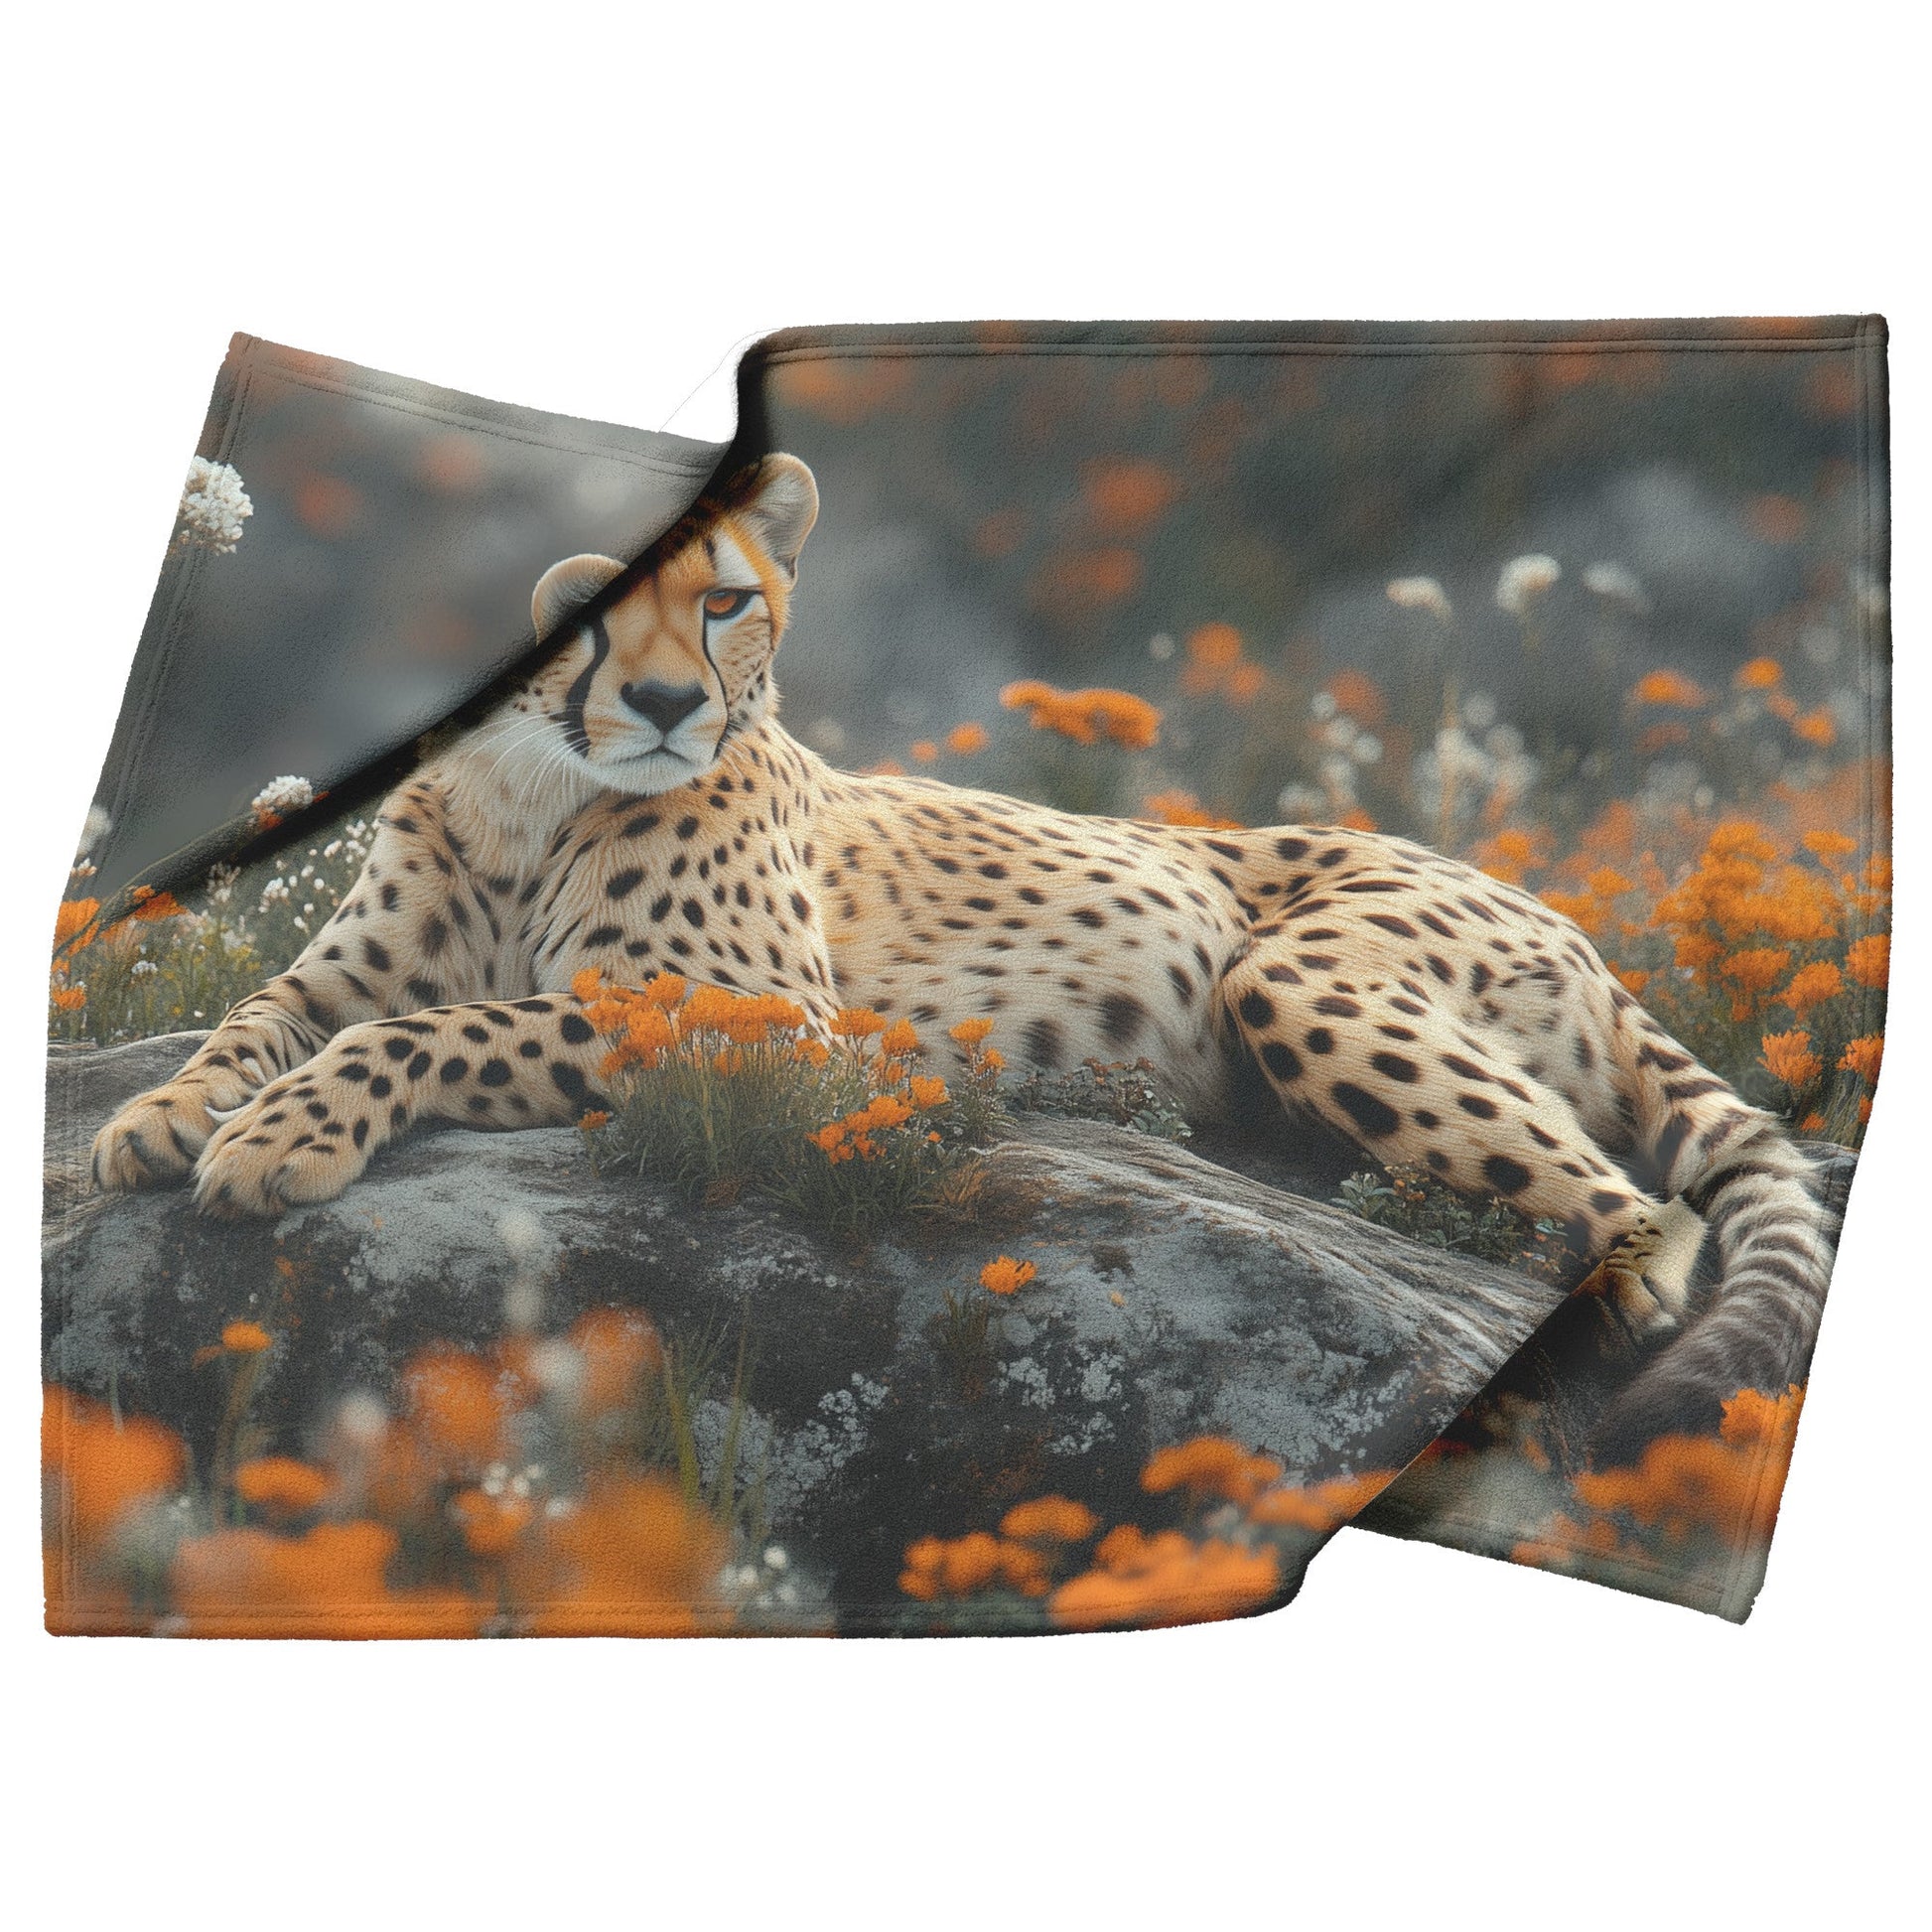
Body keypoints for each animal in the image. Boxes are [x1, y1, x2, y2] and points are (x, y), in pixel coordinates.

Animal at [91, 452, 1834, 1452]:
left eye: (725, 601)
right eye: (594, 623)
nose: (662, 704)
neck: (536, 781)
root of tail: (1574, 921)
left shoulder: (759, 1019)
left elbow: (427, 1031)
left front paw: (281, 1136)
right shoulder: (348, 966)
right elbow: (266, 1012)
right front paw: (162, 1113)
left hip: (1303, 980)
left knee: (1647, 1221)